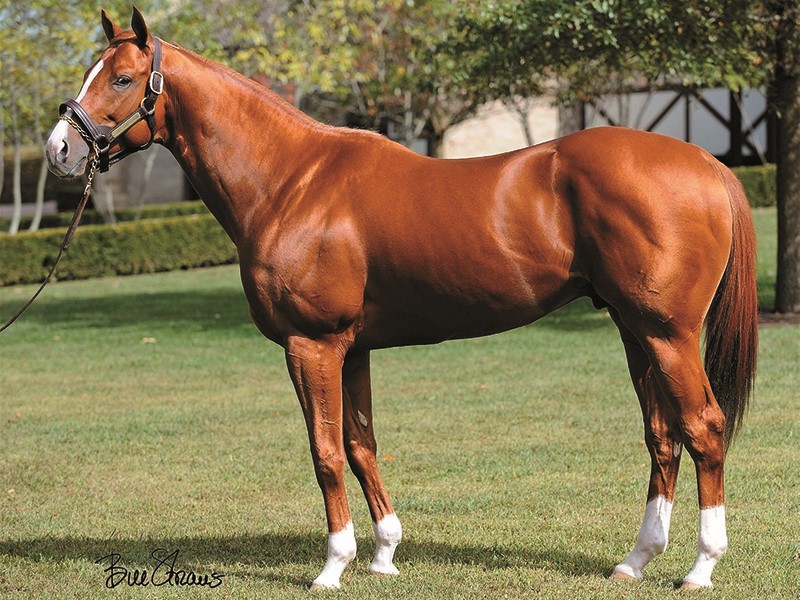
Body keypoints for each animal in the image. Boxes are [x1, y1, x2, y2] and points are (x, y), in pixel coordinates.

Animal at [45, 8, 757, 591]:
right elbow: (362, 445)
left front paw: (332, 566)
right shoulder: (352, 349)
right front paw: (384, 554)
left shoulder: (312, 345)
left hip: (667, 334)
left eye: (121, 79)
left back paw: (701, 567)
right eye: (90, 72)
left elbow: (326, 452)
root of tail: (705, 162)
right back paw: (634, 561)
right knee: (662, 436)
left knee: (704, 428)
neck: (291, 181)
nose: (60, 149)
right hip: (635, 331)